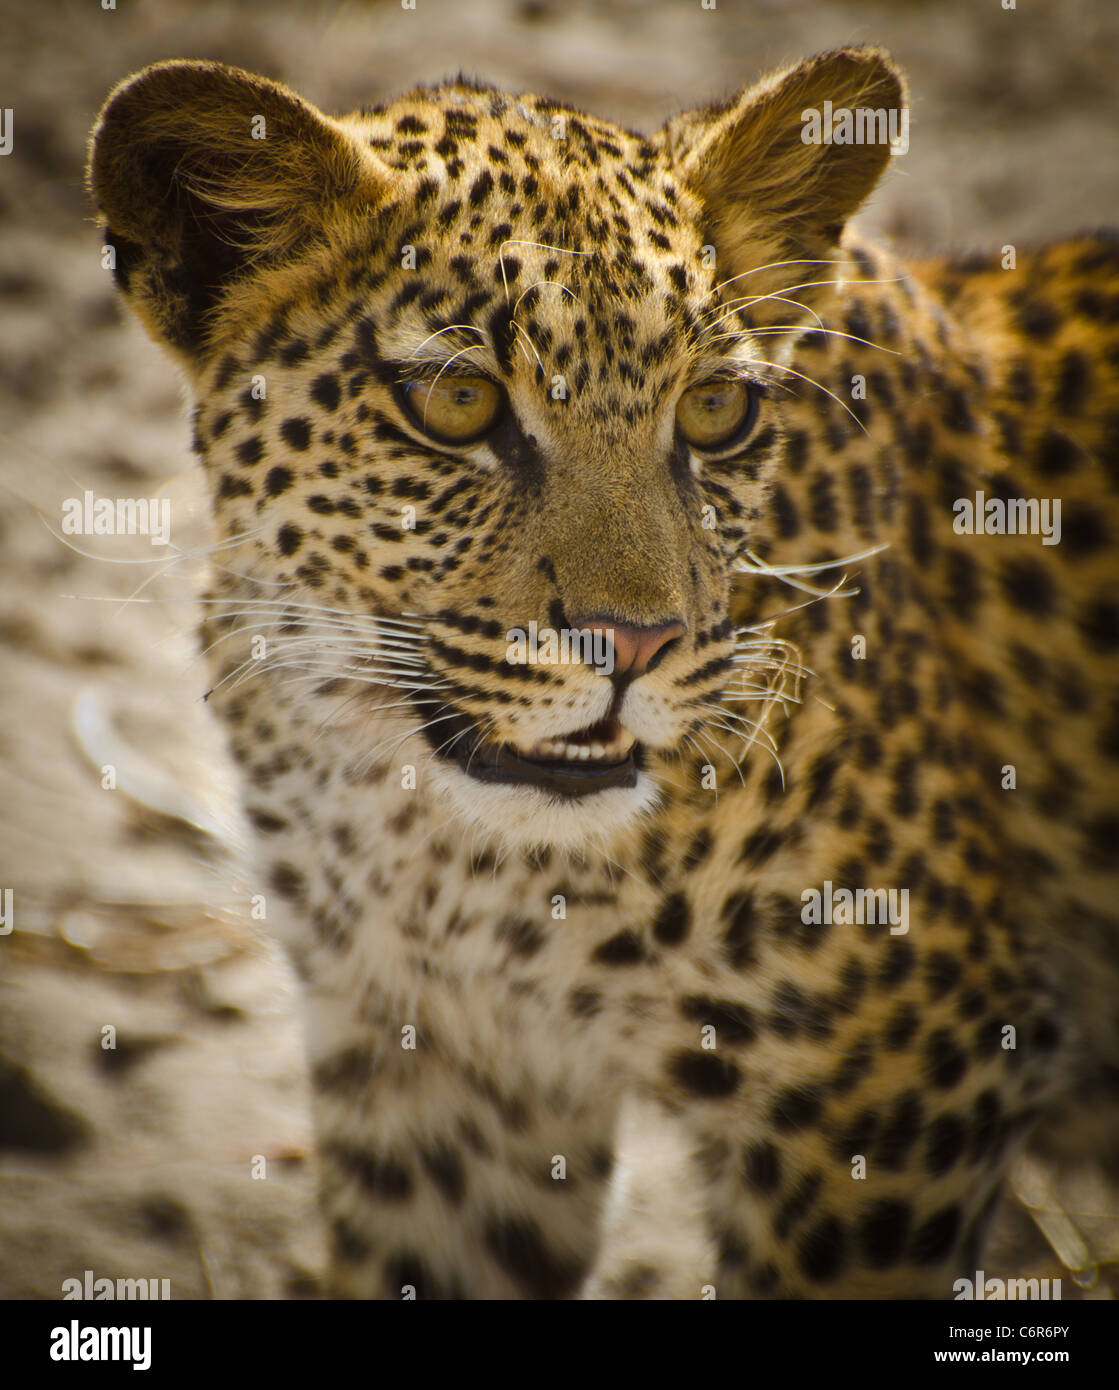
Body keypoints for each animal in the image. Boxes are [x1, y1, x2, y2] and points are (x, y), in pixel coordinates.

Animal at [86, 45, 1119, 1299]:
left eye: (716, 409)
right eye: (457, 400)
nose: (637, 642)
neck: (434, 840)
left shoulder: (897, 1078)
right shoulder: (446, 1068)